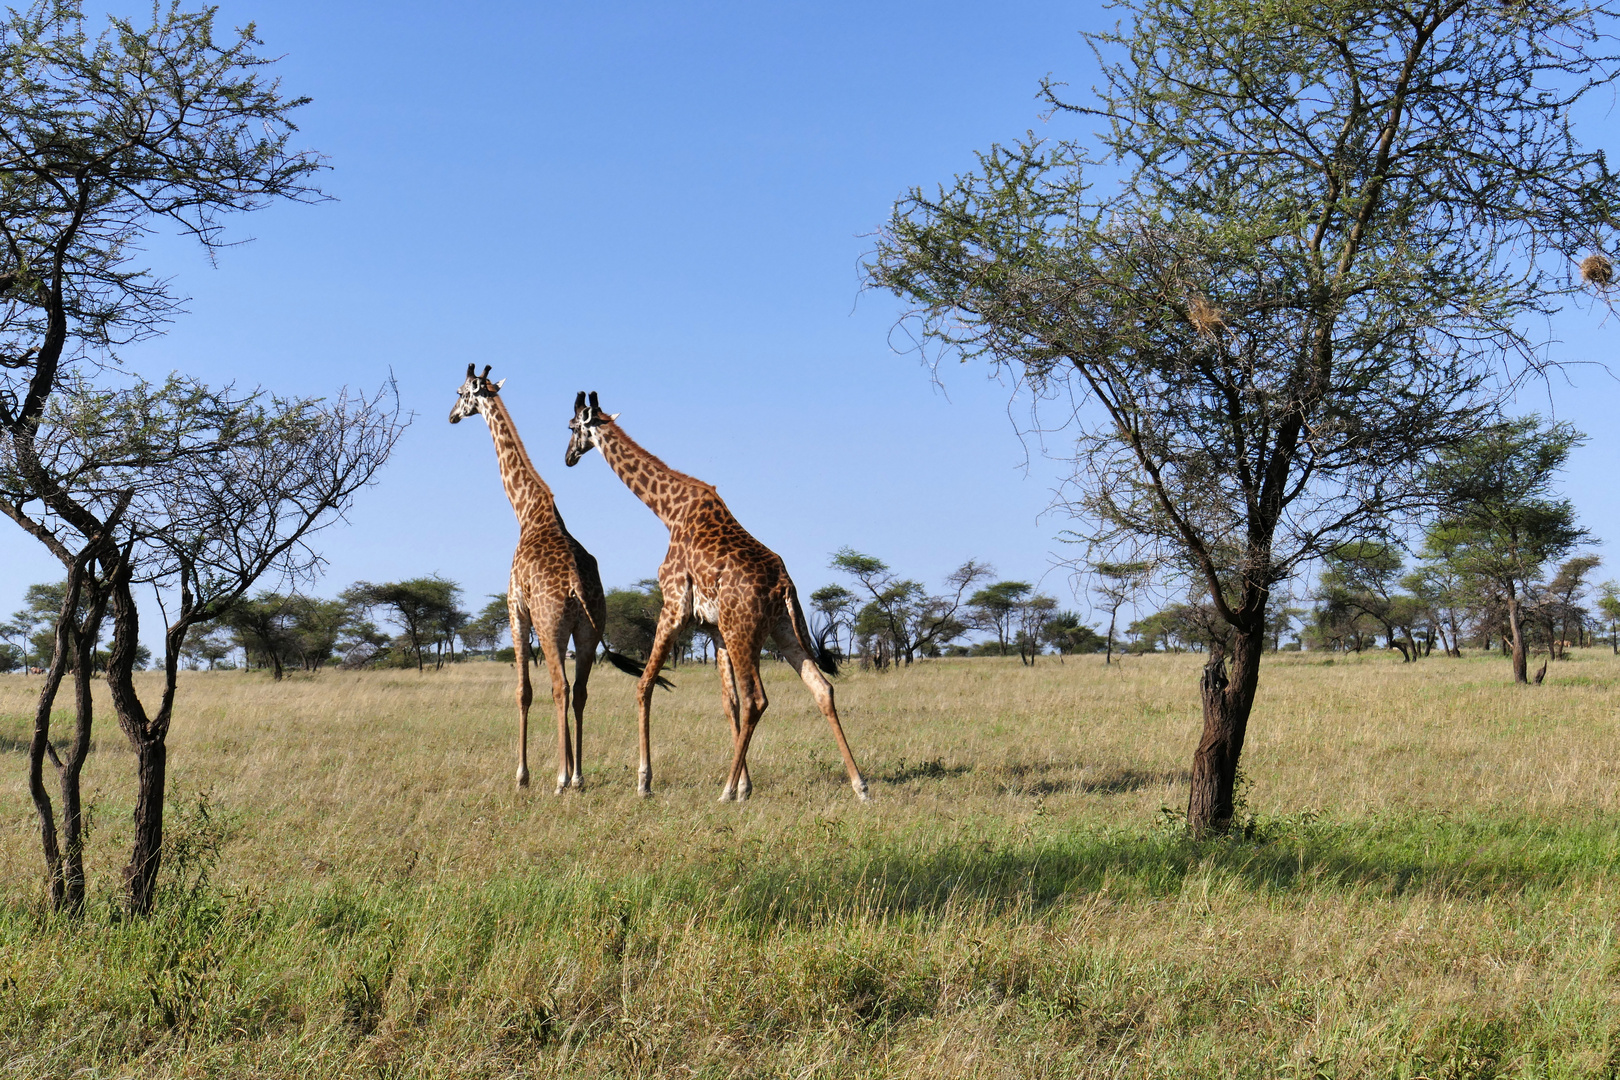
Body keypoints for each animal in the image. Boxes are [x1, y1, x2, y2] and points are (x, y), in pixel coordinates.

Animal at [450, 366, 667, 793]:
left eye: (462, 394)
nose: (450, 416)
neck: (528, 510)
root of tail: (576, 587)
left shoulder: (516, 610)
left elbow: (523, 691)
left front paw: (522, 775)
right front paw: (567, 769)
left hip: (550, 627)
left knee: (559, 688)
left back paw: (562, 778)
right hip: (587, 630)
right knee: (580, 690)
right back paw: (578, 776)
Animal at [564, 390, 869, 802]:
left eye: (571, 427)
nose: (568, 457)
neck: (668, 510)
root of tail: (784, 586)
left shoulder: (674, 606)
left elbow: (645, 686)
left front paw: (645, 781)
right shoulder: (715, 630)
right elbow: (729, 703)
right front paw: (745, 786)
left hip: (745, 631)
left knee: (758, 699)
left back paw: (722, 792)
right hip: (780, 630)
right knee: (821, 689)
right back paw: (859, 784)